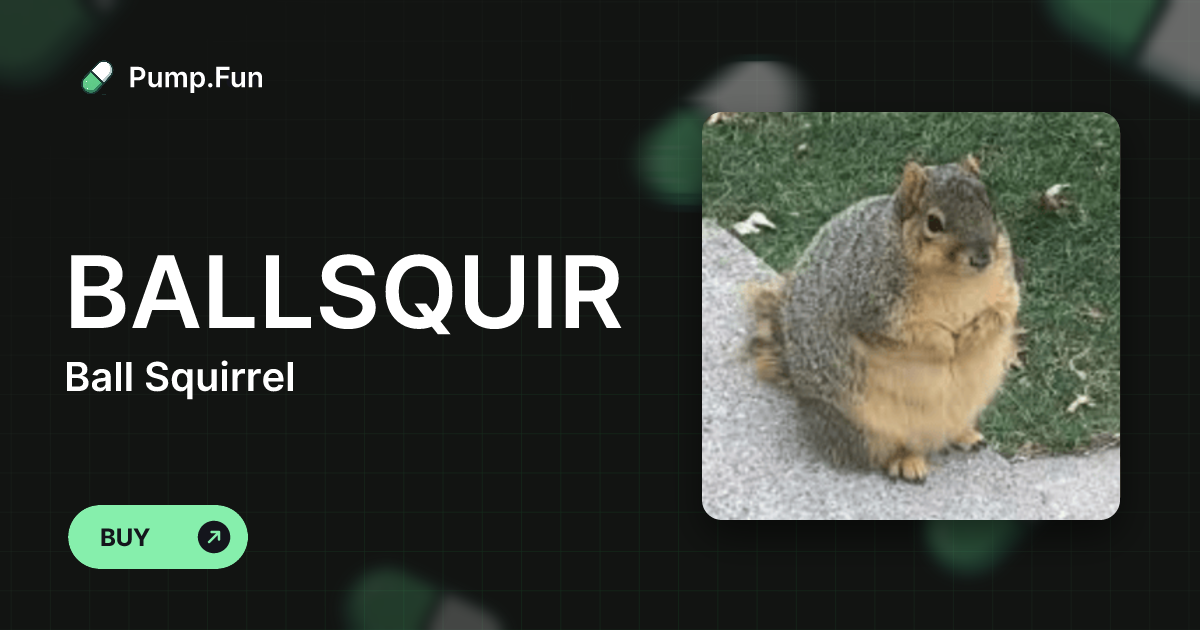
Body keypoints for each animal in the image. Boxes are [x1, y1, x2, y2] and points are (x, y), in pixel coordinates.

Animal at [748, 155, 1023, 482]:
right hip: (866, 425)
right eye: (934, 223)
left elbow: (1004, 311)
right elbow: (913, 336)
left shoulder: (1004, 282)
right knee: (883, 452)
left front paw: (973, 336)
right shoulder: (873, 305)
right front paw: (947, 345)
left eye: (990, 208)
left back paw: (965, 435)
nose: (982, 257)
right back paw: (907, 462)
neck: (956, 279)